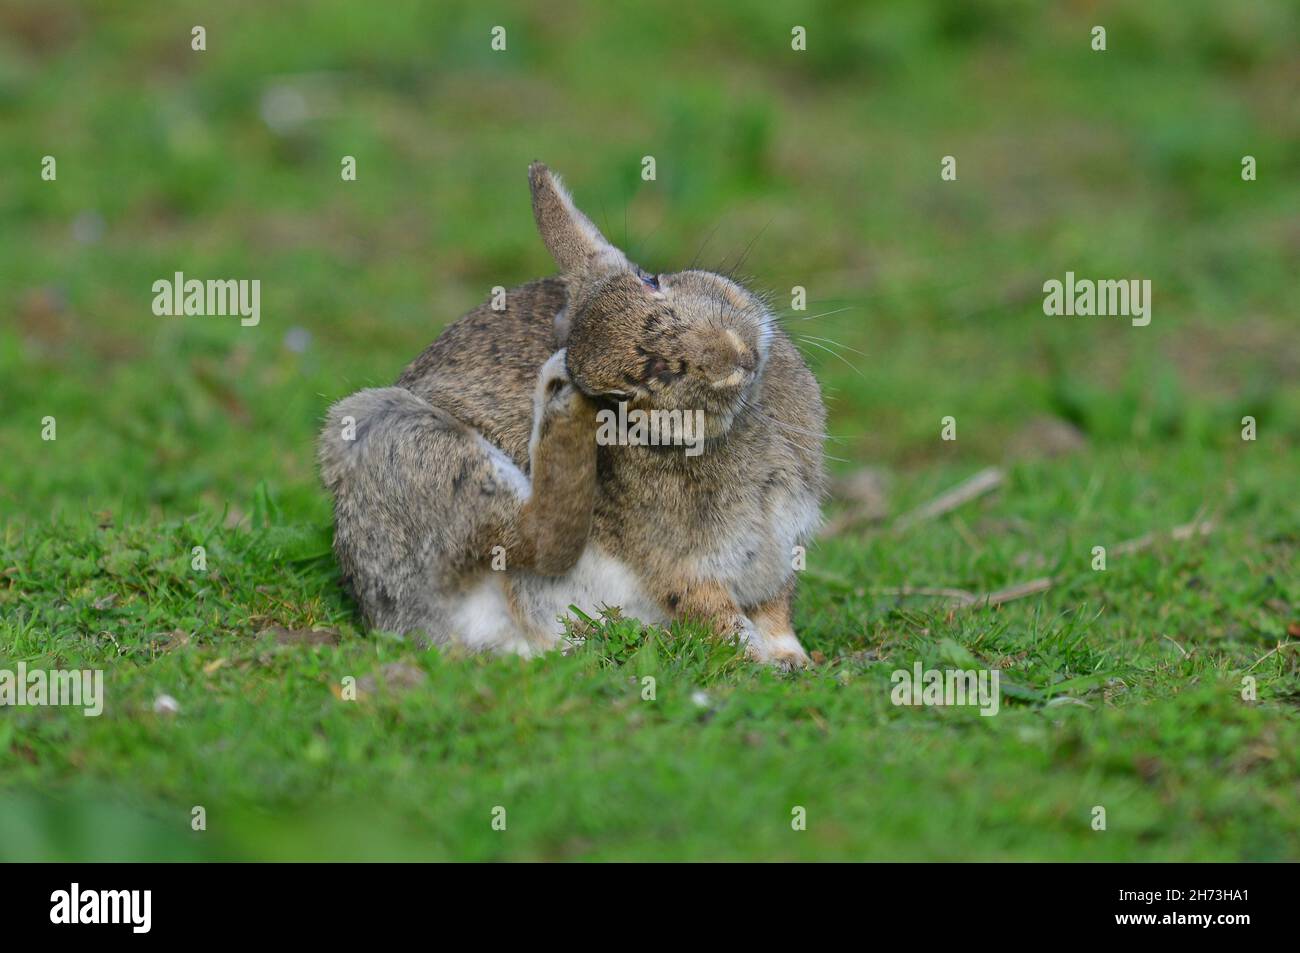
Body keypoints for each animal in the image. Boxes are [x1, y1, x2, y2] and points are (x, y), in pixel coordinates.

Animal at [318, 163, 826, 668]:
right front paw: (757, 660)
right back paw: (557, 398)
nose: (731, 358)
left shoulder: (777, 555)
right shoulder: (676, 563)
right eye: (620, 394)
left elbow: (775, 610)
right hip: (395, 433)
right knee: (538, 541)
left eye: (653, 281)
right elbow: (713, 611)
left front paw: (793, 659)